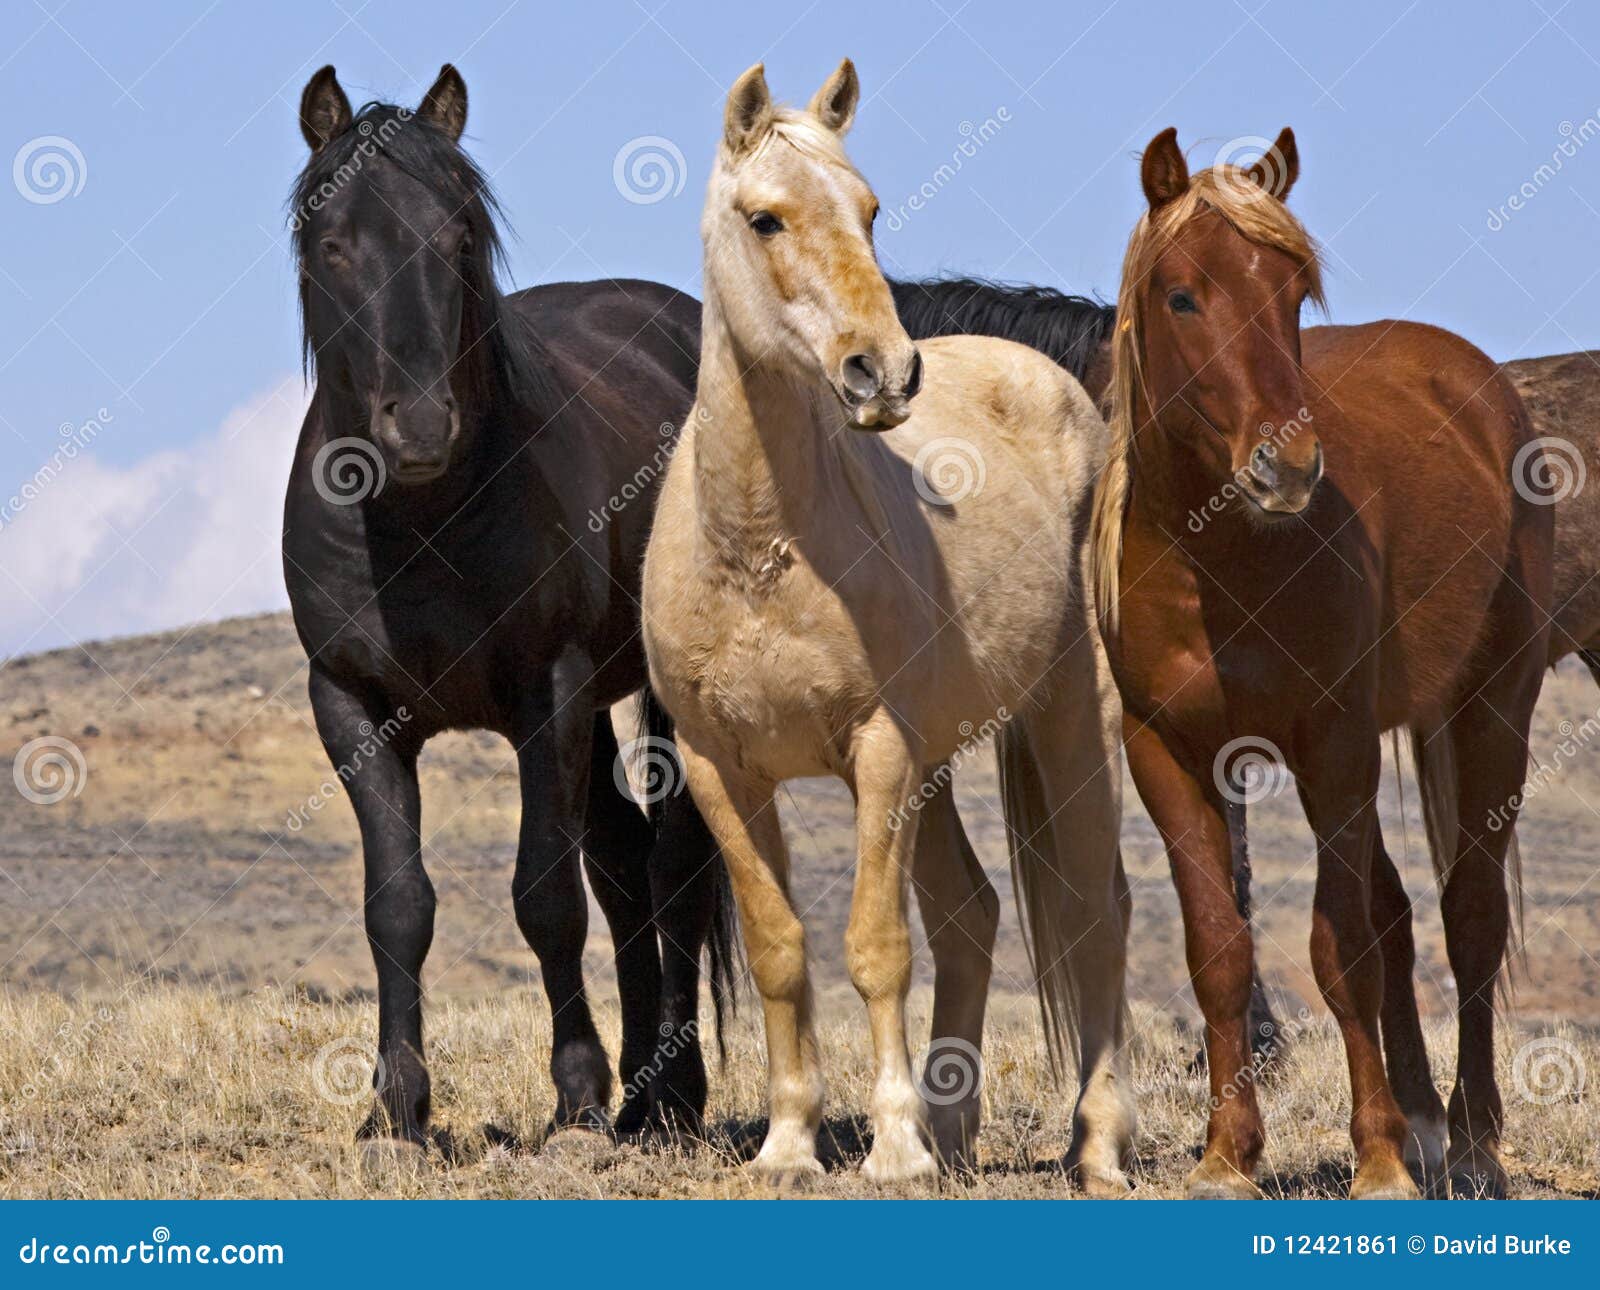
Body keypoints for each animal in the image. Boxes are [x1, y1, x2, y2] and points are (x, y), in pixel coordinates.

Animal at [281, 64, 737, 1151]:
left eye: (456, 236)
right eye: (333, 242)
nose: (420, 425)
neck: (417, 521)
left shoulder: (549, 693)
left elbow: (546, 897)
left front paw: (573, 1100)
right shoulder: (350, 705)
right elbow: (398, 904)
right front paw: (397, 1112)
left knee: (674, 867)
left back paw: (670, 1098)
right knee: (623, 862)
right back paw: (639, 1094)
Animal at [642, 60, 1133, 1188]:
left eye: (868, 211)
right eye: (766, 218)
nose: (884, 373)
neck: (761, 551)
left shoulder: (878, 753)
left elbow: (876, 946)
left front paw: (895, 1149)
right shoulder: (718, 767)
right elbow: (781, 950)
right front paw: (789, 1145)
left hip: (1069, 720)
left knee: (1096, 912)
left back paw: (1096, 1147)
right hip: (941, 761)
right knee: (974, 914)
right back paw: (959, 1135)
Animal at [1089, 126, 1550, 1199]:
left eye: (1294, 295)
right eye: (1183, 294)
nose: (1287, 467)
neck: (1220, 561)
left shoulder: (1332, 743)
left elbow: (1341, 952)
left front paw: (1375, 1157)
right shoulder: (1166, 752)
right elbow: (1222, 951)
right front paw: (1227, 1153)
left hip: (1492, 704)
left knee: (1470, 915)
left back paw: (1470, 1136)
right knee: (1399, 913)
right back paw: (1427, 1125)